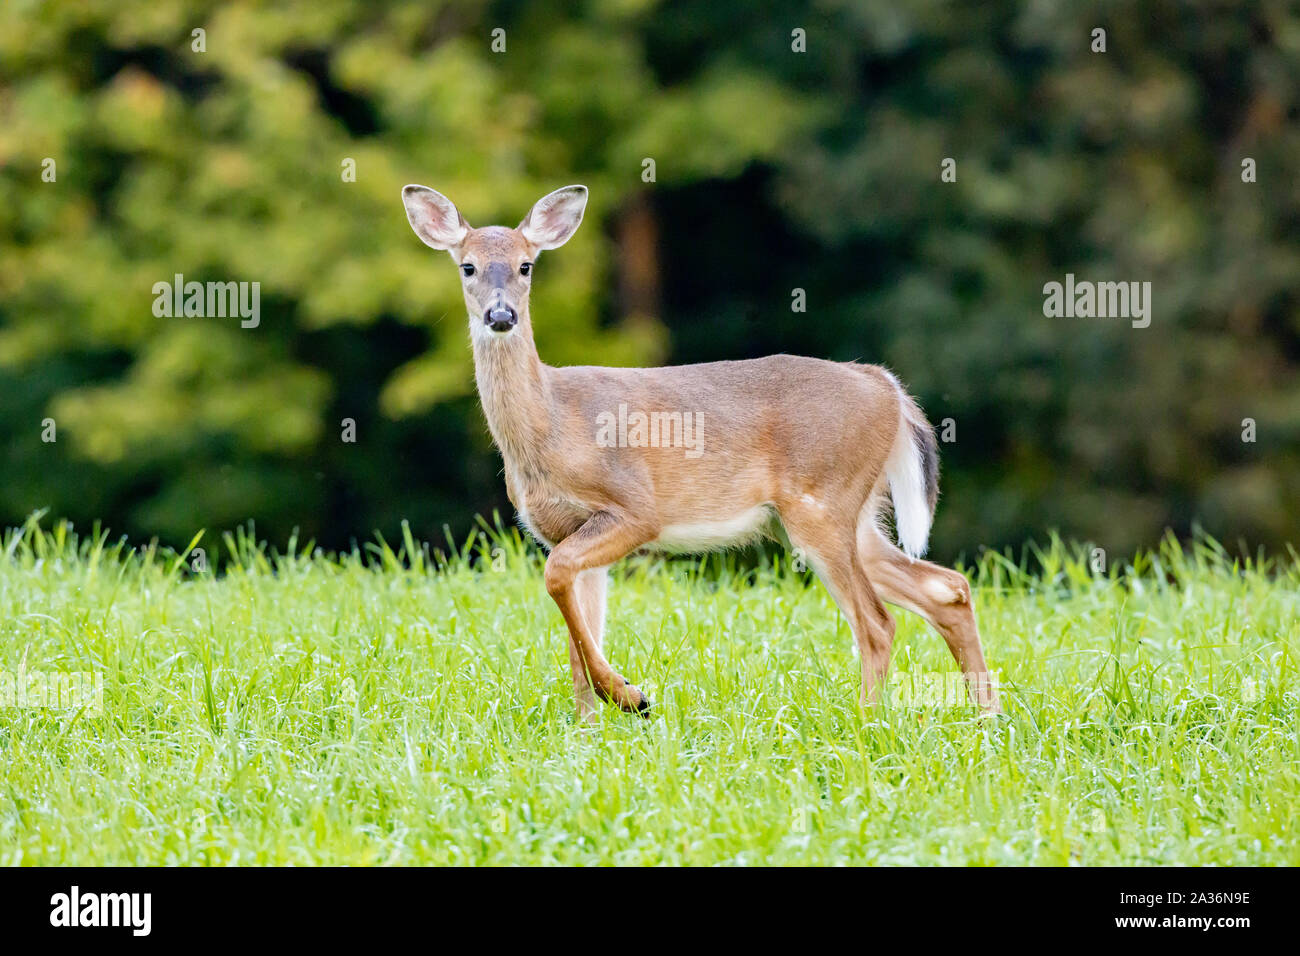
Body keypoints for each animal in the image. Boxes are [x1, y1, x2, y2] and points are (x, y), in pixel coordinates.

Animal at [401, 183, 1001, 722]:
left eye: (526, 265)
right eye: (468, 267)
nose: (501, 316)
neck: (550, 423)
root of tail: (888, 388)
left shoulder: (635, 506)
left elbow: (556, 579)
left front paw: (631, 697)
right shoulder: (562, 529)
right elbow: (576, 625)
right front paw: (592, 725)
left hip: (822, 502)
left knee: (877, 622)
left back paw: (866, 725)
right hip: (839, 517)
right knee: (948, 588)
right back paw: (986, 719)